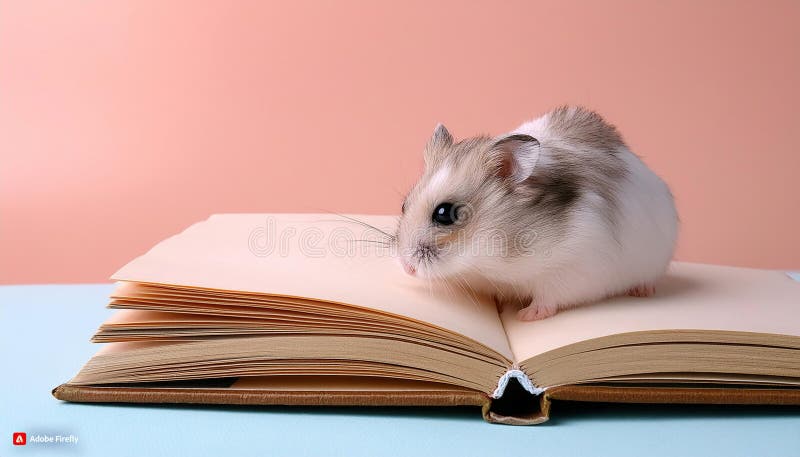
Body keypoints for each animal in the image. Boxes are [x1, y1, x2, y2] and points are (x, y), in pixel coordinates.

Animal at [395, 106, 678, 321]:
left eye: (445, 214)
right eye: (404, 205)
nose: (407, 268)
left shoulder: (573, 268)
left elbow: (547, 298)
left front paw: (524, 316)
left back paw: (642, 291)